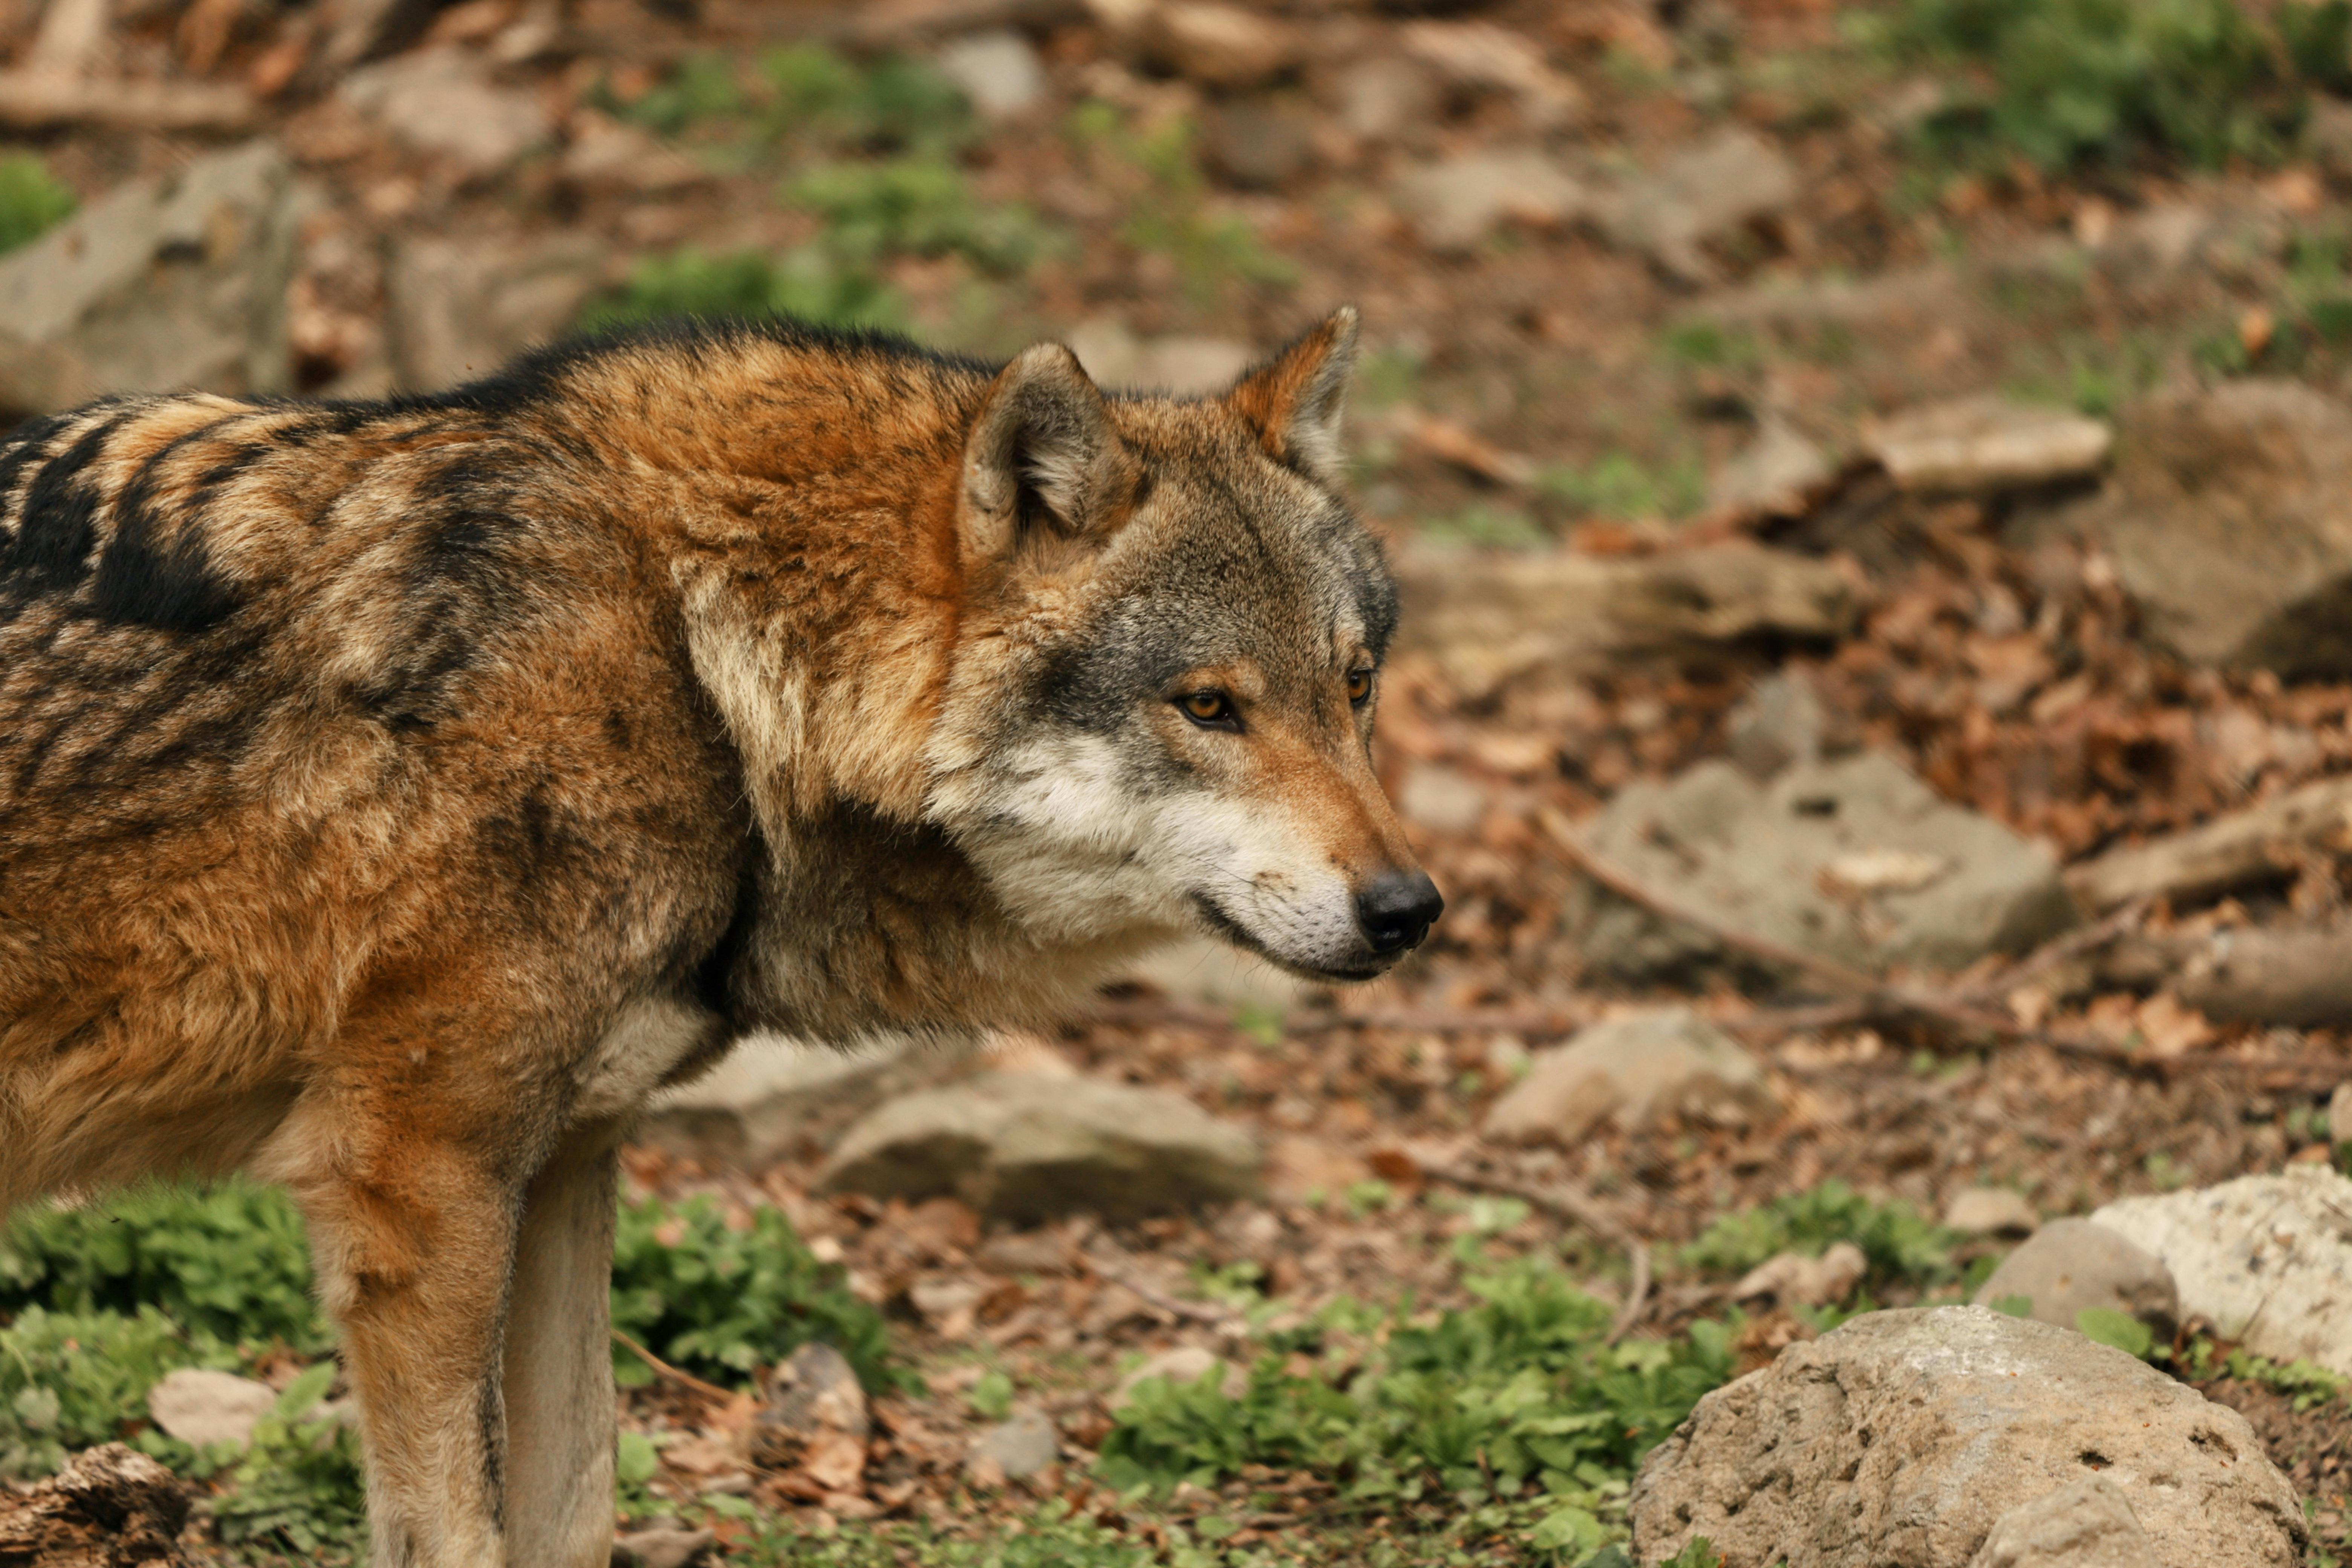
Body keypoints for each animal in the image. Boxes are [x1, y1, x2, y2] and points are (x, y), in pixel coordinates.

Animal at [0, 306, 1440, 1565]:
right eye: (1209, 706)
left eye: (1354, 687)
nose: (1410, 909)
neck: (693, 663)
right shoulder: (417, 1181)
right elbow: (458, 1534)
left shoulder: (563, 1158)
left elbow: (576, 1510)